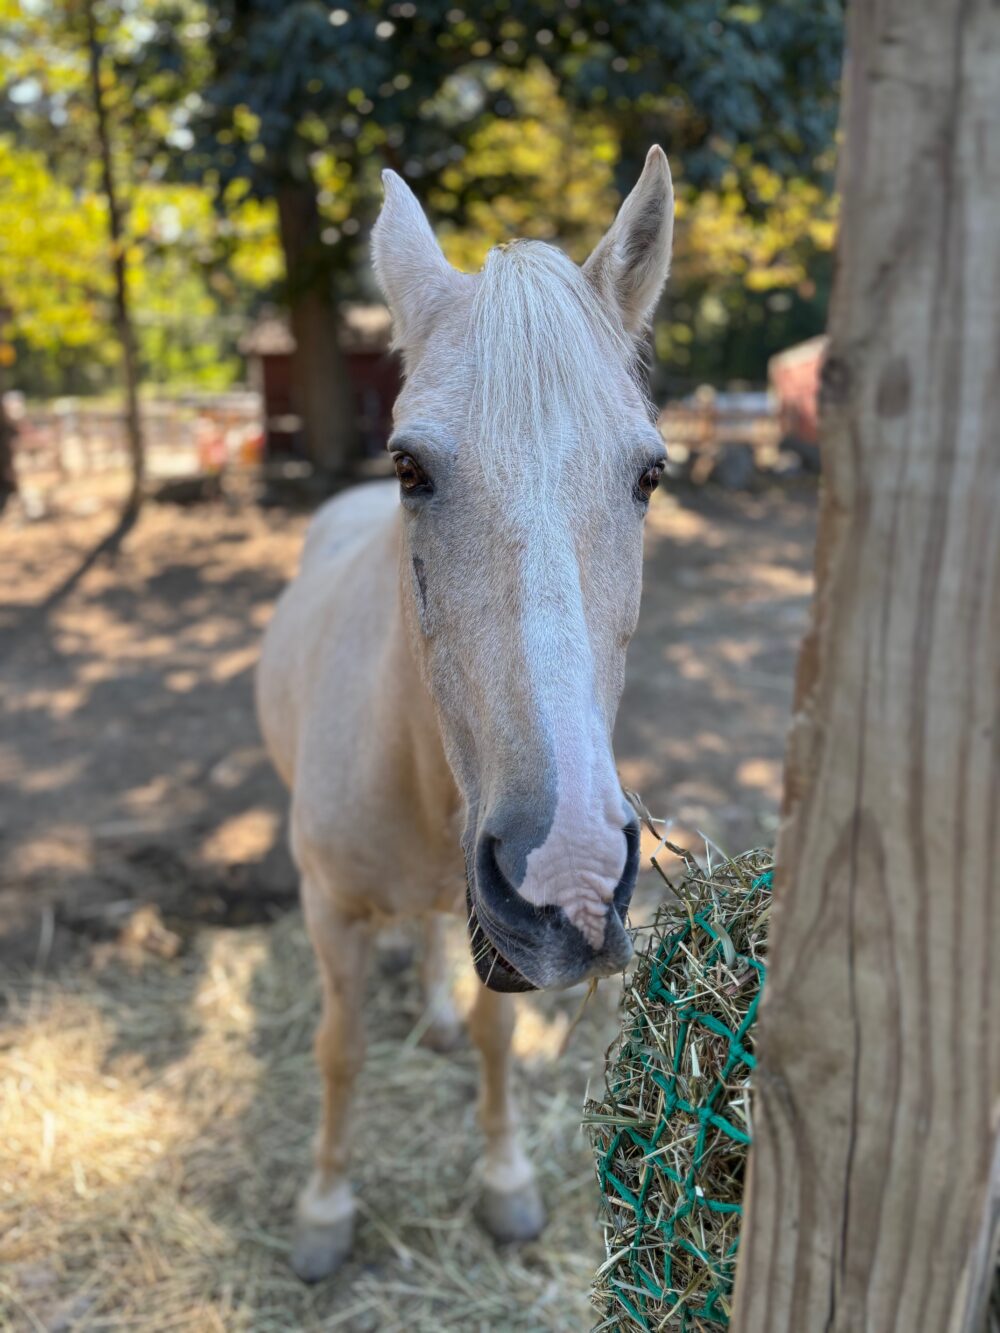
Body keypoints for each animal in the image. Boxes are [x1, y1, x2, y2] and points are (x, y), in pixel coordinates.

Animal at [256, 145, 674, 1282]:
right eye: (410, 466)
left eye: (650, 473)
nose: (569, 878)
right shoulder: (327, 908)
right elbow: (340, 1050)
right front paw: (323, 1206)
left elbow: (495, 1039)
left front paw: (505, 1180)